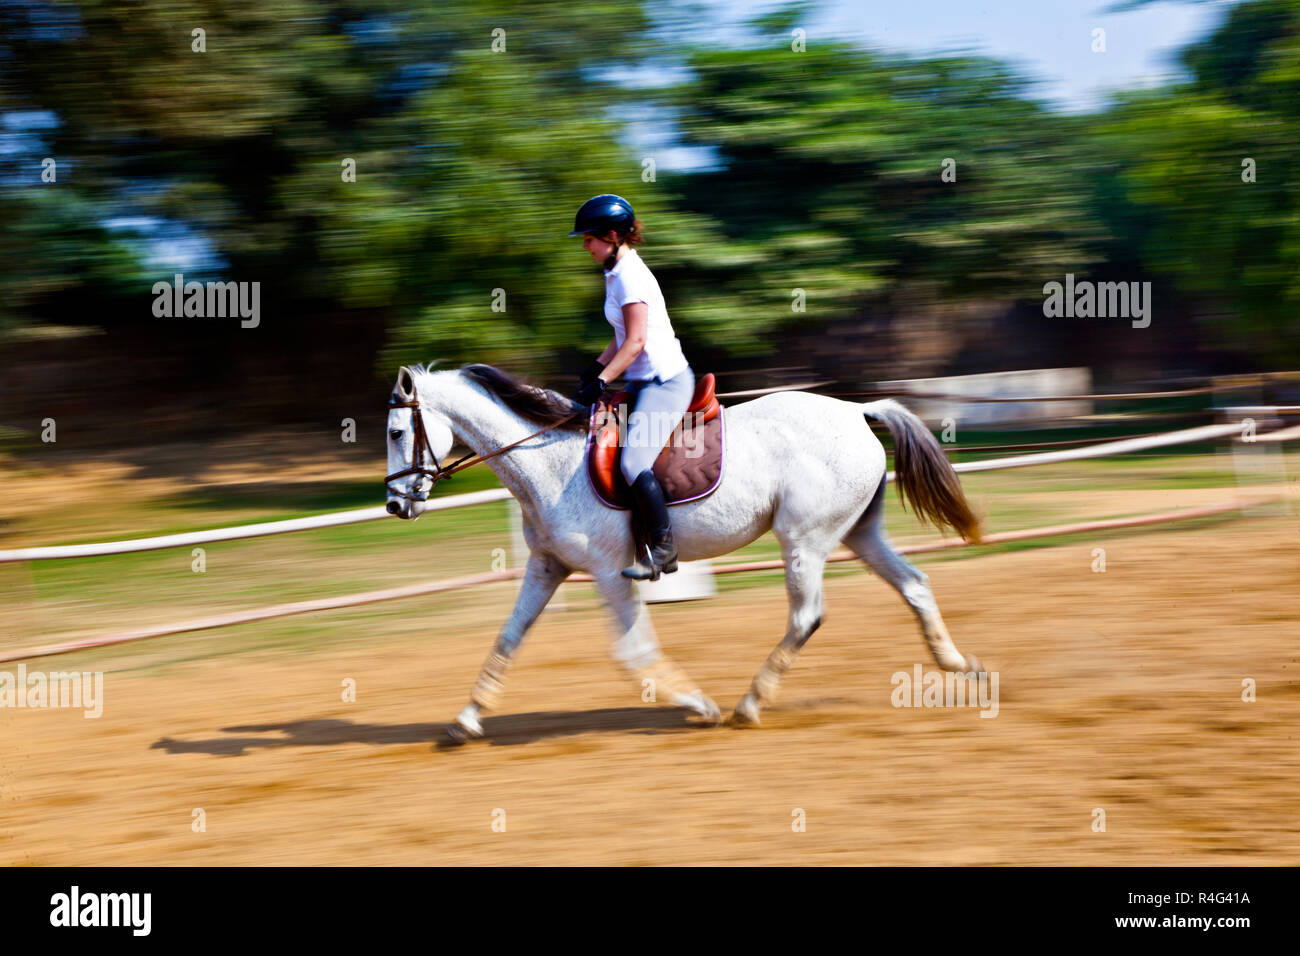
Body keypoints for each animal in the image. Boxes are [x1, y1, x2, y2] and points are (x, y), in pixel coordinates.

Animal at [384, 363, 984, 742]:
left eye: (395, 431)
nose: (394, 503)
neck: (548, 462)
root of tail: (856, 412)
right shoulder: (547, 566)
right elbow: (508, 638)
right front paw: (464, 722)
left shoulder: (609, 571)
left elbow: (632, 651)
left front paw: (700, 706)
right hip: (858, 532)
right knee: (913, 583)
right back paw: (958, 666)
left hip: (804, 539)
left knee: (807, 616)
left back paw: (748, 705)